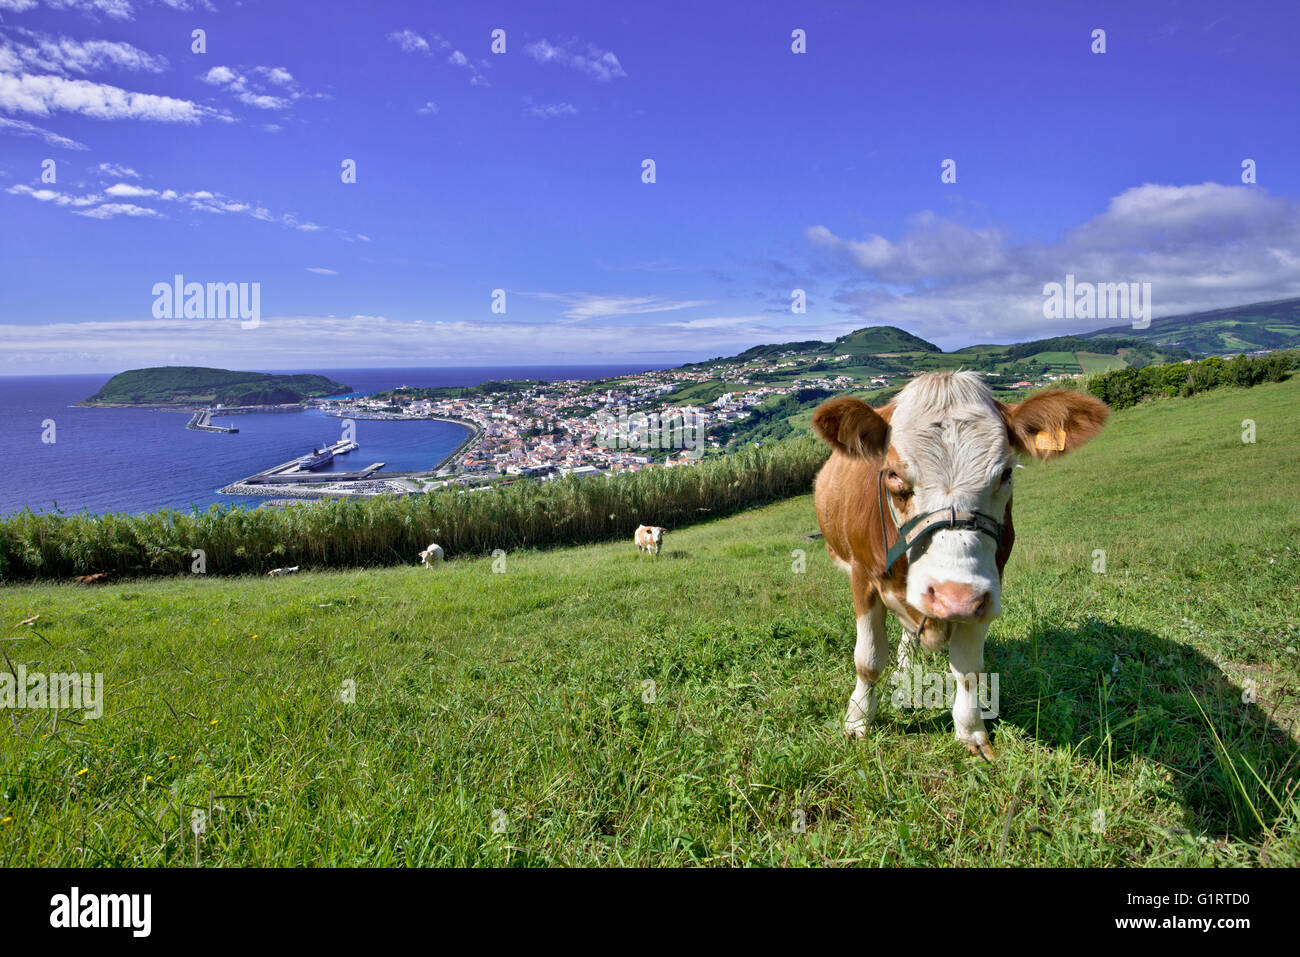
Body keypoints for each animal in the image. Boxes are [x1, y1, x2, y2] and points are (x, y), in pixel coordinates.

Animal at [811, 371, 1108, 760]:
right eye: (893, 476)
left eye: (1006, 474)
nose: (952, 597)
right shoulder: (863, 577)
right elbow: (869, 659)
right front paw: (858, 720)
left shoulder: (985, 588)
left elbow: (968, 670)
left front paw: (971, 732)